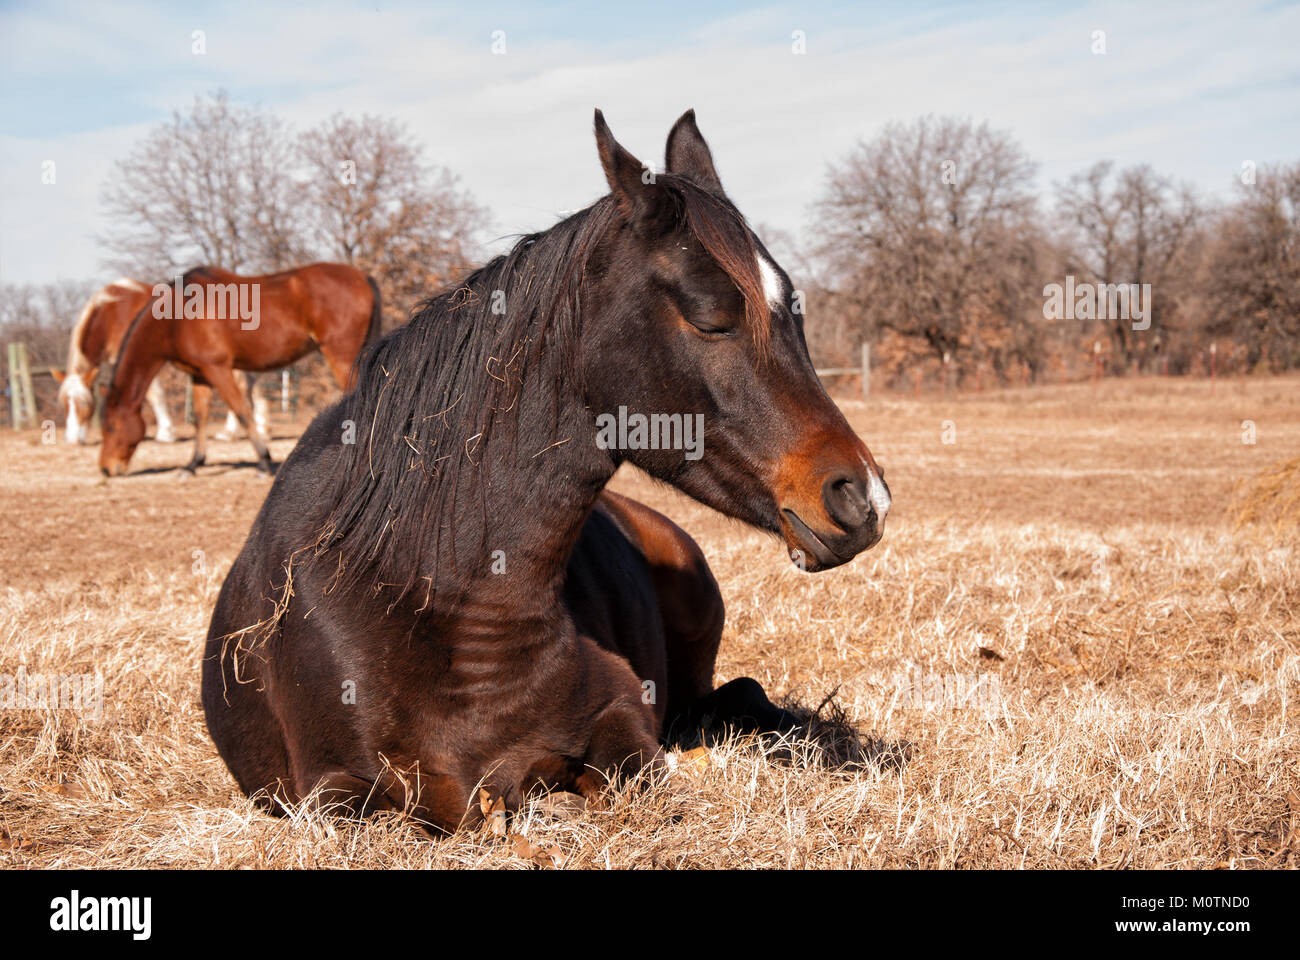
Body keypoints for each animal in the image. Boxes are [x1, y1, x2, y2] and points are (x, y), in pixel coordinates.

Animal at [99, 263, 381, 476]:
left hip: (342, 357)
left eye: (110, 428)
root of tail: (363, 278)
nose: (106, 468)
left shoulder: (218, 369)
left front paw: (264, 461)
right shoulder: (199, 375)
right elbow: (200, 418)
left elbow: (243, 412)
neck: (176, 318)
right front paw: (193, 464)